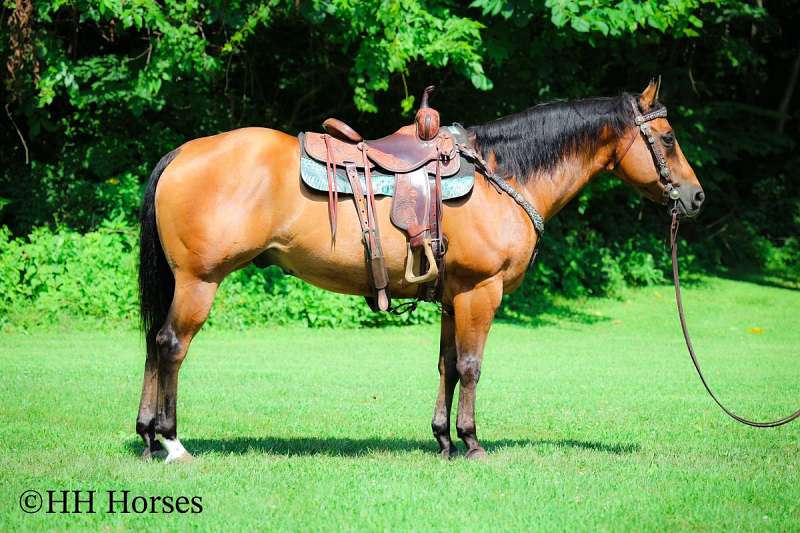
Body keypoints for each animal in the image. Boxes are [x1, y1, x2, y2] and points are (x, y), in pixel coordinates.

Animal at [136, 80, 705, 463]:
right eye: (668, 138)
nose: (696, 197)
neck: (503, 176)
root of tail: (182, 153)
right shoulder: (480, 292)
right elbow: (471, 367)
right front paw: (472, 442)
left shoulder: (454, 297)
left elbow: (447, 367)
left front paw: (444, 440)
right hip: (200, 282)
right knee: (171, 345)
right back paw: (172, 440)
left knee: (152, 342)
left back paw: (146, 435)